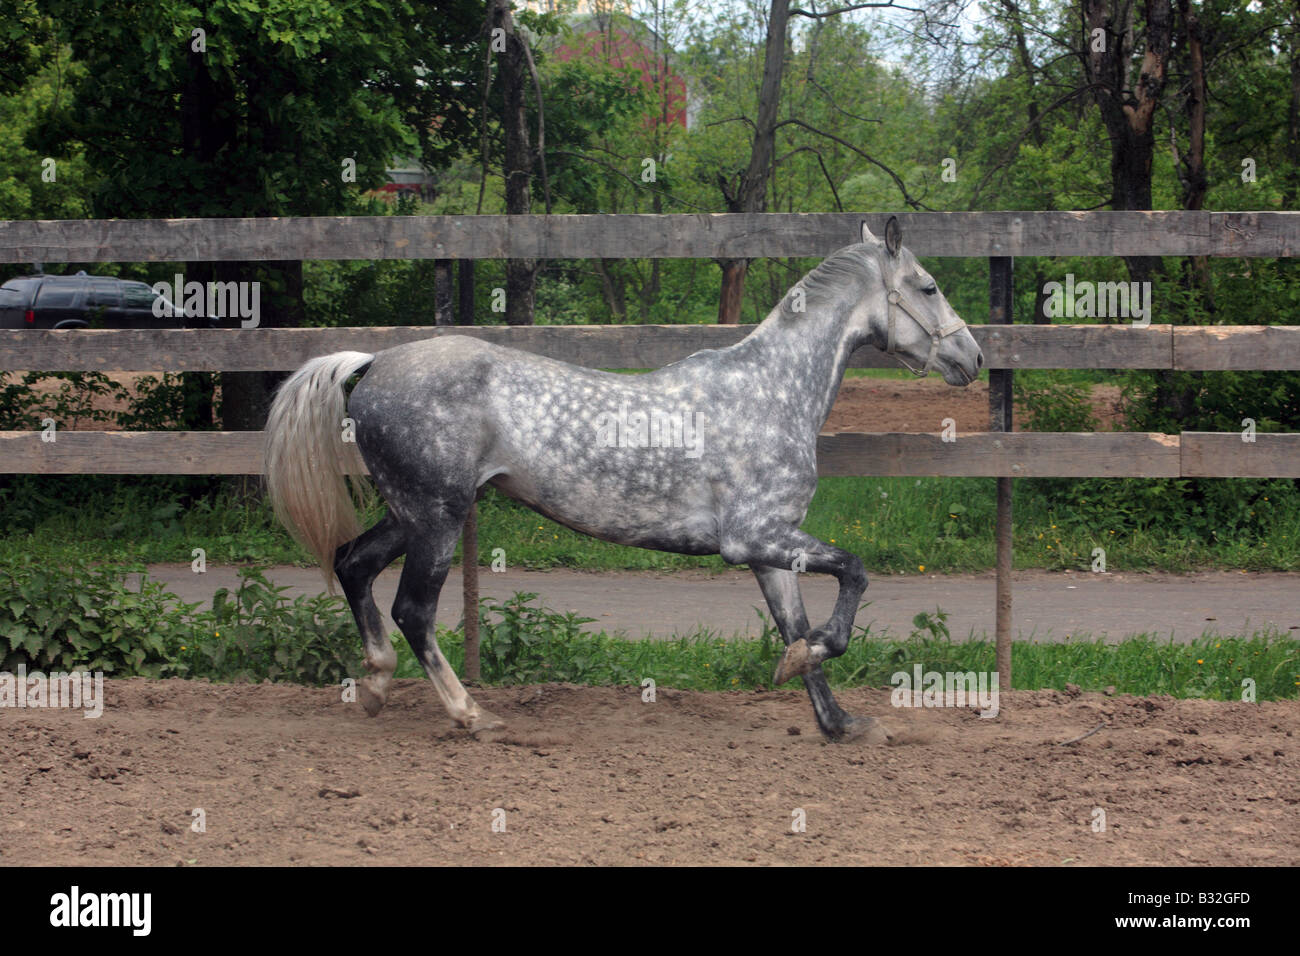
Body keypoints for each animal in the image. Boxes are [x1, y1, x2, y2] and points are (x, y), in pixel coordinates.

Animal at [263, 217, 983, 741]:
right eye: (928, 286)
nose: (972, 357)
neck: (772, 392)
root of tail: (373, 362)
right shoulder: (752, 538)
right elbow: (854, 574)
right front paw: (820, 662)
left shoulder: (772, 547)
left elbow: (793, 624)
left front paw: (837, 720)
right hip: (438, 516)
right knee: (412, 610)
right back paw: (472, 715)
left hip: (411, 512)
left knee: (352, 564)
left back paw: (376, 686)